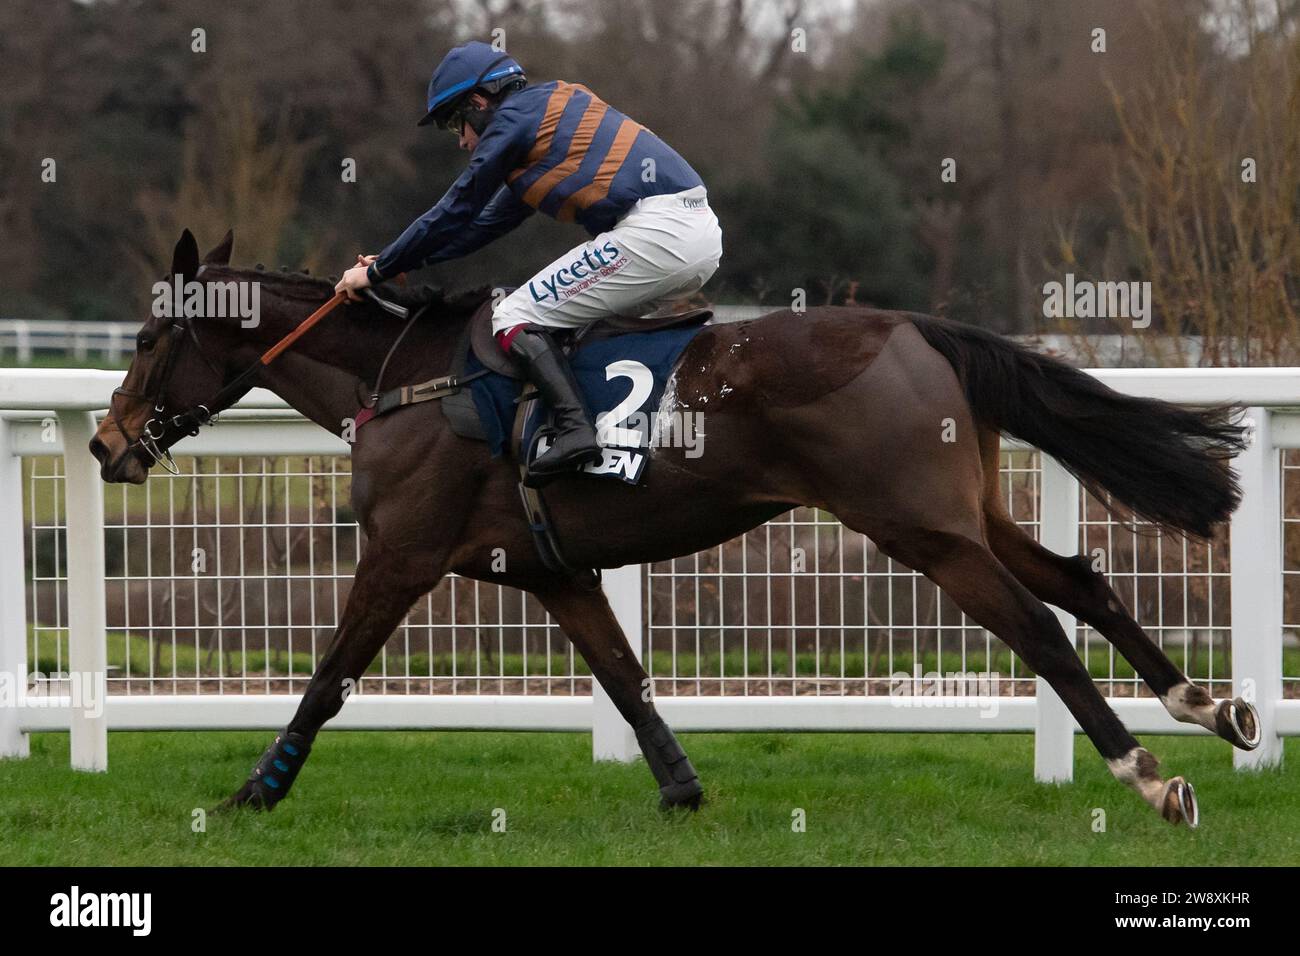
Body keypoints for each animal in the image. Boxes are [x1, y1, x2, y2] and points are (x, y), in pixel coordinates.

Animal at [90, 229, 1258, 827]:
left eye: (146, 336)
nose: (105, 443)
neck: (408, 380)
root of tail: (918, 327)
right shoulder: (550, 571)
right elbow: (621, 675)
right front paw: (684, 790)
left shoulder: (402, 553)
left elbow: (331, 675)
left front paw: (255, 789)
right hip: (964, 510)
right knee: (1079, 580)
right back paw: (1212, 707)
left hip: (915, 527)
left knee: (1038, 626)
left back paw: (1149, 774)